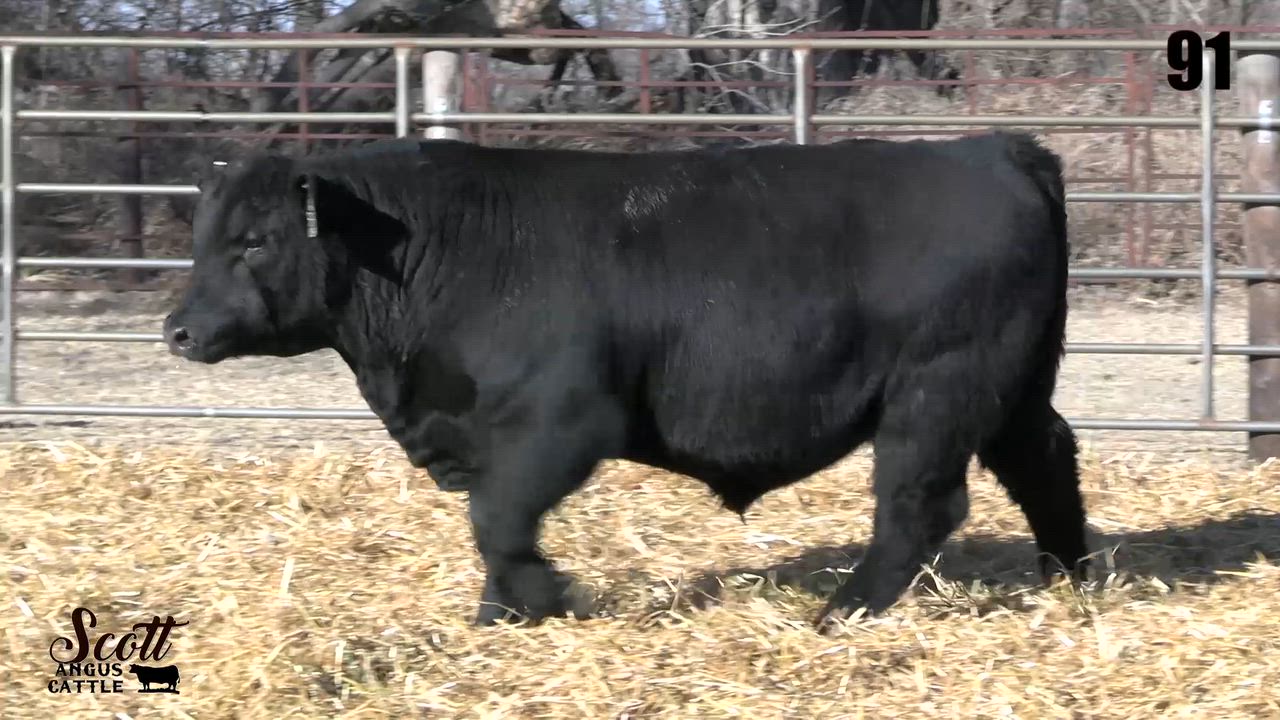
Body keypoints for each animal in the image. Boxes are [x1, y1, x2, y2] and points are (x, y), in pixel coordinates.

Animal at [163, 132, 1090, 632]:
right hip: (1011, 393)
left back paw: (843, 611)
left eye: (254, 240)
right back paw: (1070, 577)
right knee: (1047, 459)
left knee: (920, 507)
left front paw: (537, 598)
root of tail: (993, 150)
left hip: (936, 396)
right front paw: (501, 614)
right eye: (205, 236)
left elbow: (498, 520)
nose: (177, 330)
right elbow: (492, 527)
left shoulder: (561, 423)